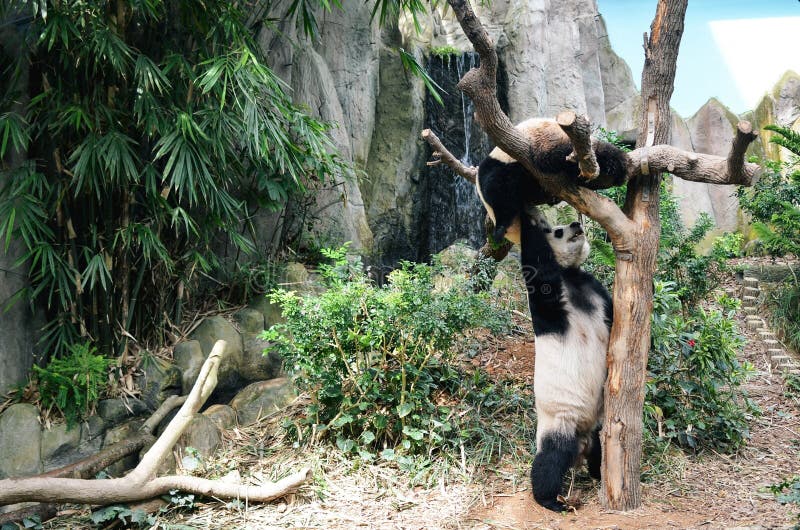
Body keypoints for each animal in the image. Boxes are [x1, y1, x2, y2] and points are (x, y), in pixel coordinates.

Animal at [475, 118, 628, 245]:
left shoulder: (501, 172)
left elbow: (502, 195)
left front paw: (499, 230)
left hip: (542, 140)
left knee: (557, 155)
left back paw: (614, 167)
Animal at [519, 204, 612, 512]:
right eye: (558, 231)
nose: (576, 225)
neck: (569, 275)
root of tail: (580, 445)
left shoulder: (593, 288)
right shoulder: (551, 297)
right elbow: (538, 272)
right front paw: (528, 220)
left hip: (596, 425)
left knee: (600, 449)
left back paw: (599, 474)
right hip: (560, 421)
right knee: (550, 460)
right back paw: (549, 499)